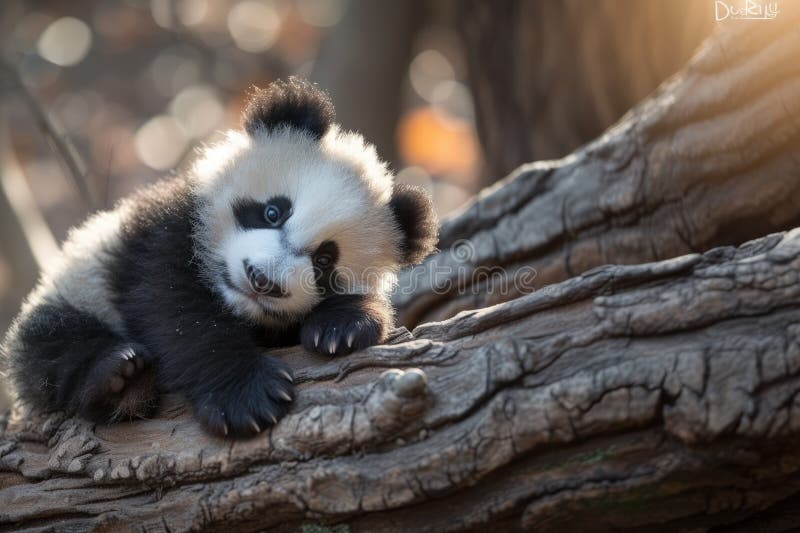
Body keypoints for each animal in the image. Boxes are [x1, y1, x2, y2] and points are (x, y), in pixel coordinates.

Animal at [0, 77, 438, 438]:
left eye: (324, 262)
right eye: (272, 212)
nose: (262, 279)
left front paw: (343, 325)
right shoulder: (164, 231)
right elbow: (175, 309)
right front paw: (247, 397)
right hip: (77, 287)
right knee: (49, 346)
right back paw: (120, 376)